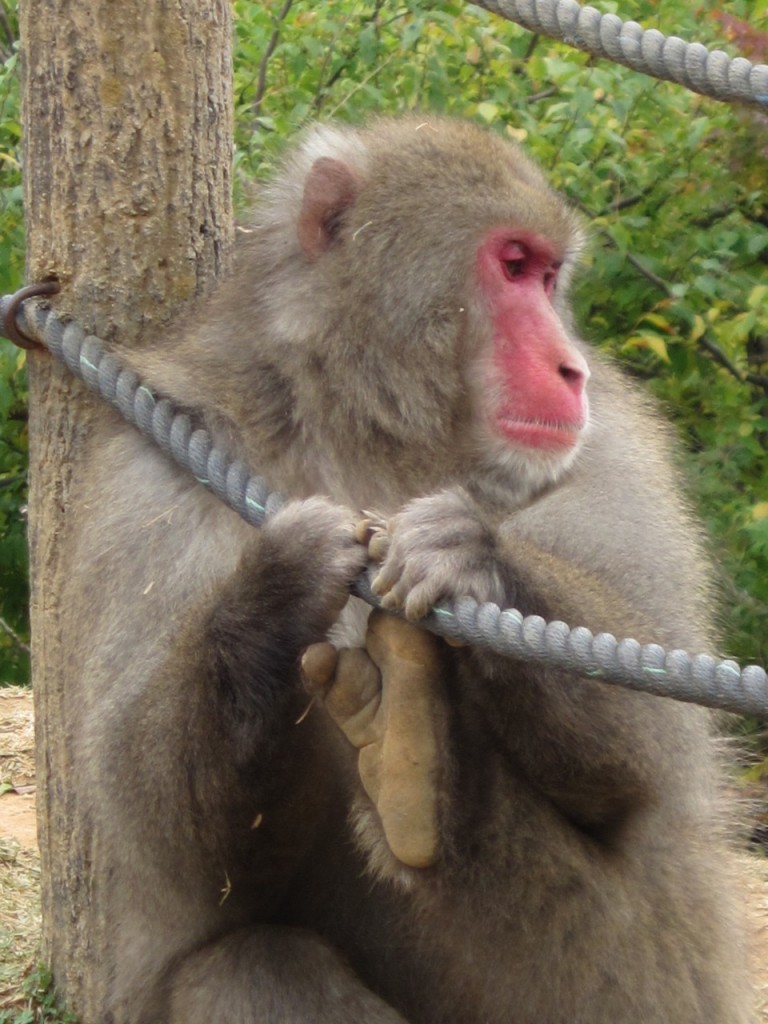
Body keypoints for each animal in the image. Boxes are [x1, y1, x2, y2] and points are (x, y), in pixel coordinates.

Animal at [58, 115, 752, 1023]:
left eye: (549, 274)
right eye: (513, 265)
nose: (572, 366)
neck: (377, 432)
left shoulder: (612, 448)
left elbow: (648, 752)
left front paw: (469, 558)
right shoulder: (153, 466)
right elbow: (172, 846)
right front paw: (274, 593)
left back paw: (419, 771)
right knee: (244, 965)